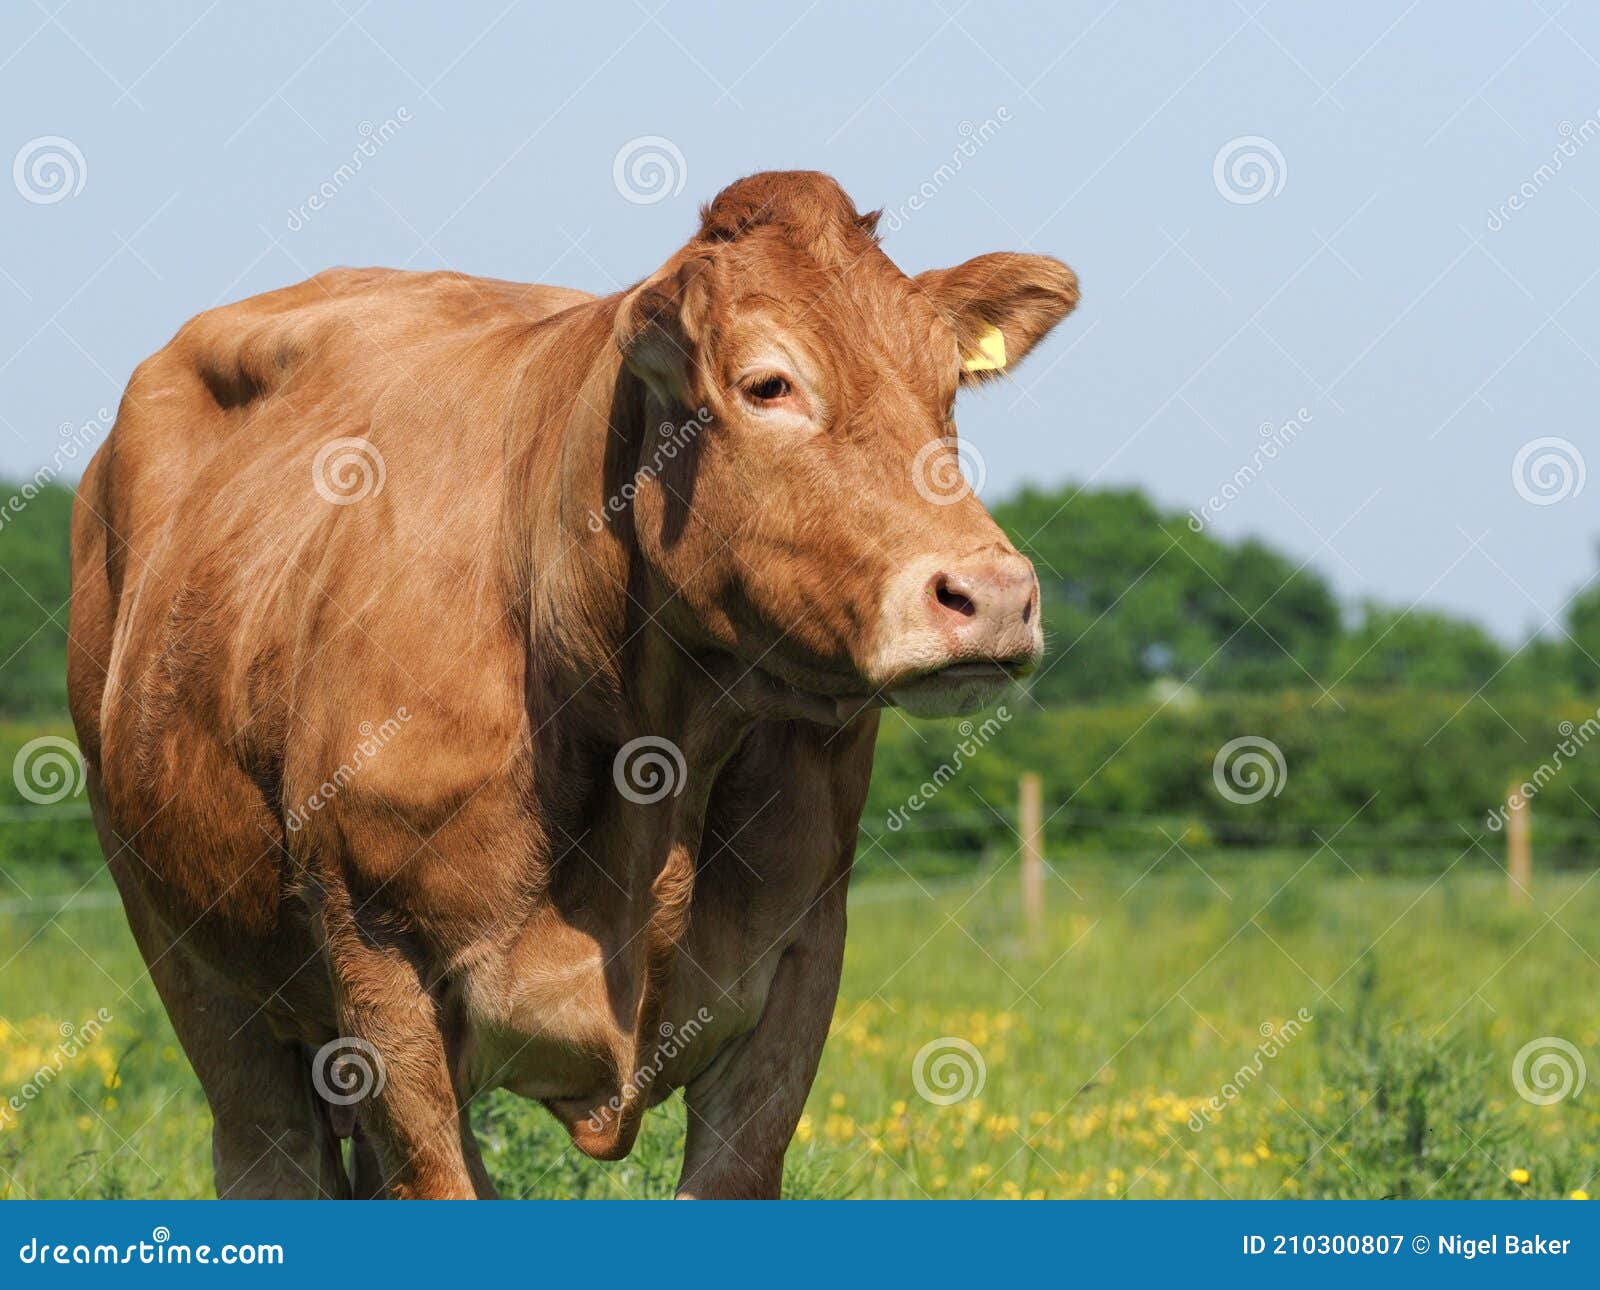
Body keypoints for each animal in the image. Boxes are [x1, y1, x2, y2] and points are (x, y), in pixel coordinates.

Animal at [66, 170, 1078, 1198]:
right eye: (768, 384)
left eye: (947, 388)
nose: (993, 594)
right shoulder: (376, 961)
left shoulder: (802, 955)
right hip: (188, 954)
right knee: (266, 1144)